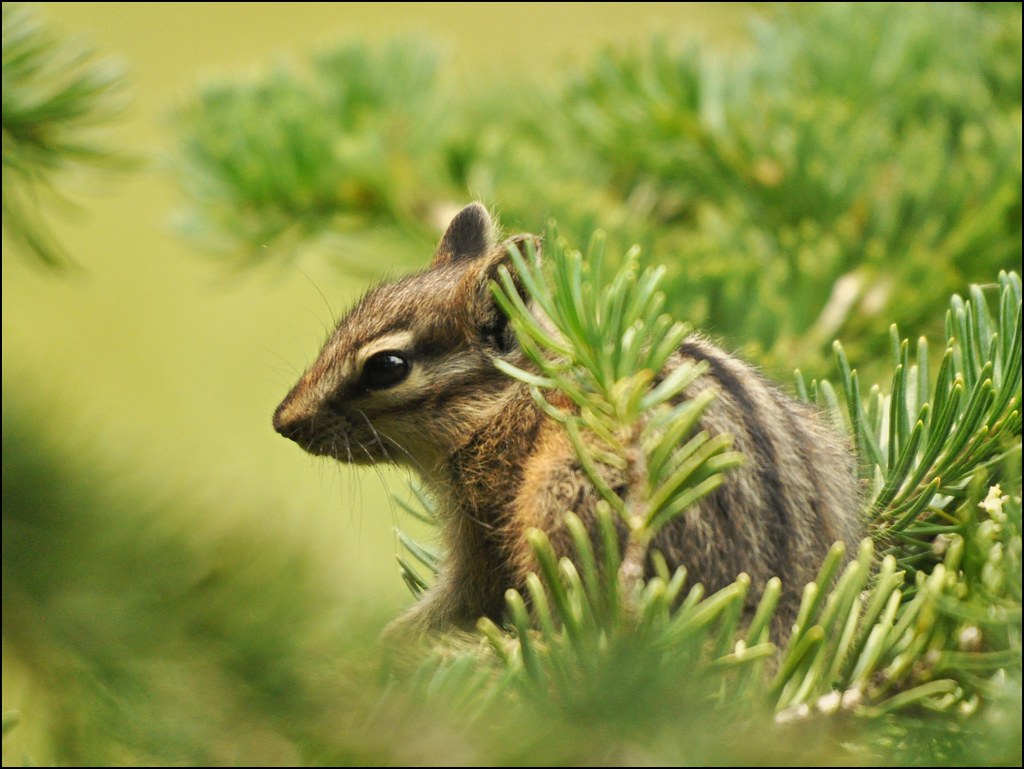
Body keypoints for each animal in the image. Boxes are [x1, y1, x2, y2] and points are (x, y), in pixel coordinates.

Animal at [273, 203, 863, 640]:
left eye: (386, 367)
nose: (284, 422)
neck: (517, 395)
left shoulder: (484, 525)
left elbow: (470, 598)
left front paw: (391, 645)